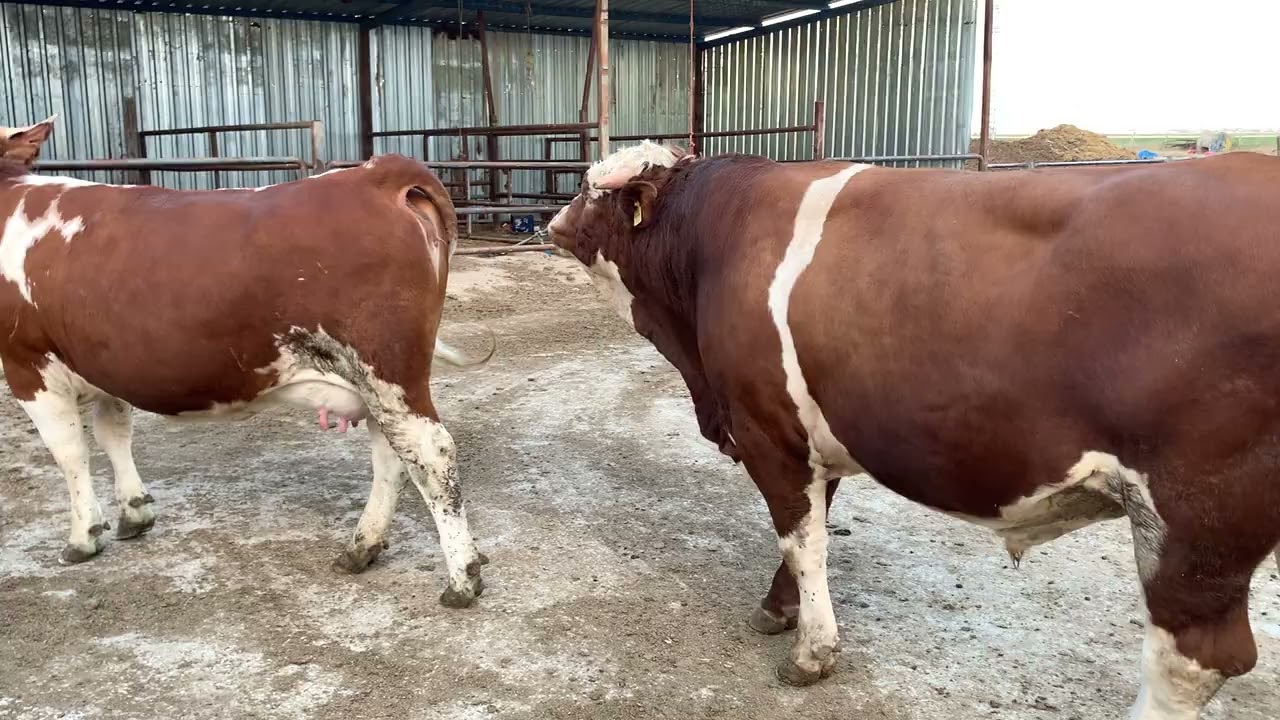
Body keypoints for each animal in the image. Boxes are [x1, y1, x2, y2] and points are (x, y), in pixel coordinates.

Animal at [0, 117, 487, 608]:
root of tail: (373, 172)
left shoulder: (26, 363)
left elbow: (69, 451)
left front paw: (83, 536)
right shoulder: (104, 364)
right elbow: (113, 434)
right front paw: (134, 513)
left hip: (387, 368)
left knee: (430, 453)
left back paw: (461, 578)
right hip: (377, 382)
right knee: (391, 455)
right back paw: (361, 547)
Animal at [547, 141, 1280, 718]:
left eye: (589, 189)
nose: (552, 221)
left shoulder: (764, 429)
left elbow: (802, 539)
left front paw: (812, 654)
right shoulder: (810, 433)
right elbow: (811, 530)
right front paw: (779, 610)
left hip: (1198, 518)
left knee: (1195, 661)